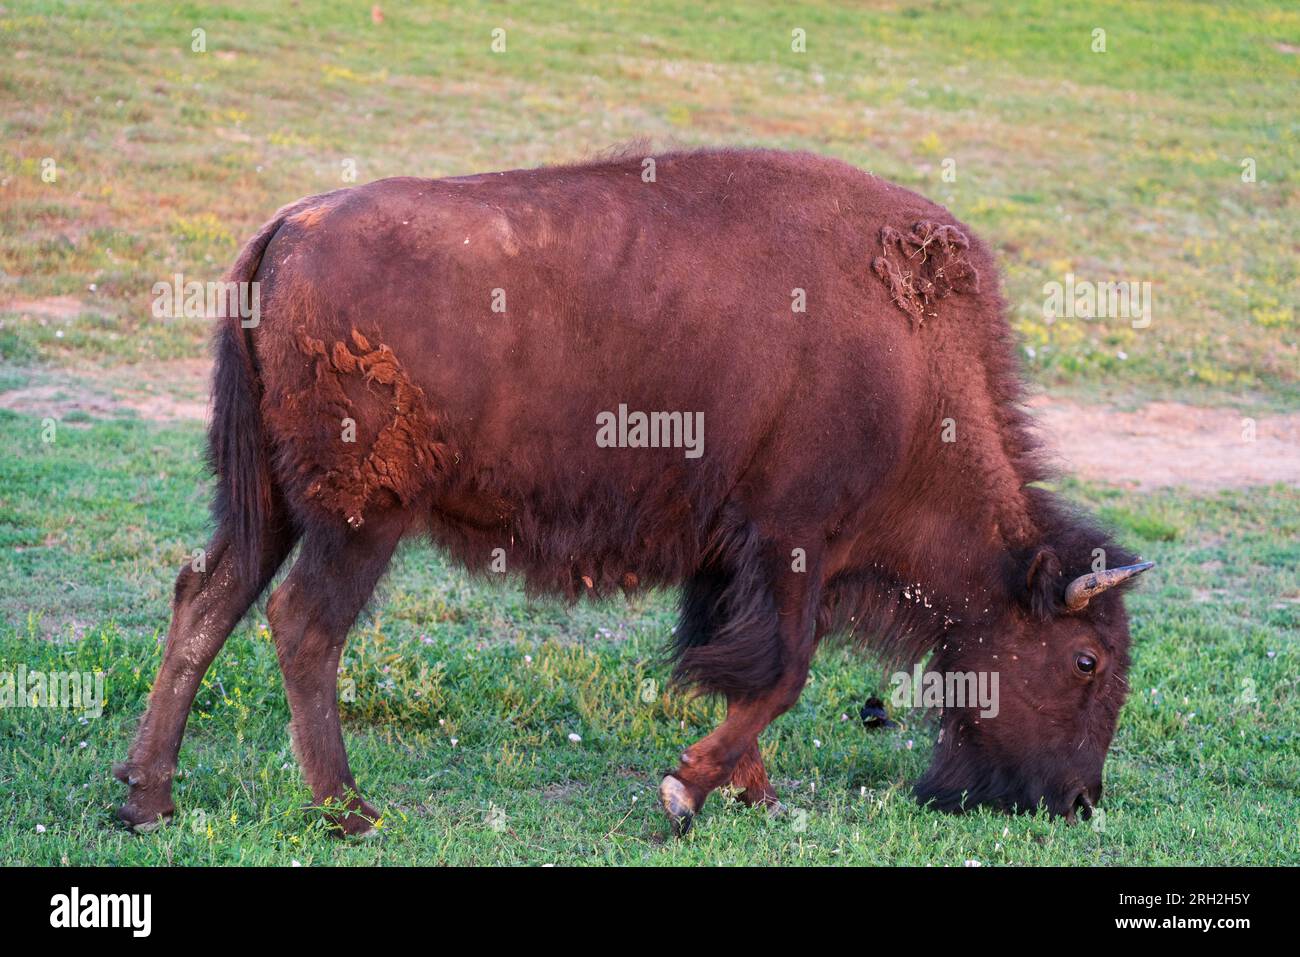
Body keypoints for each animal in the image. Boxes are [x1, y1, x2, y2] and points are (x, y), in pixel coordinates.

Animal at [116, 147, 1151, 837]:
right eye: (1087, 661)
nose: (1078, 801)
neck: (911, 369)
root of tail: (287, 226)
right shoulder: (794, 543)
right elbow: (779, 672)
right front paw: (687, 791)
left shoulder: (732, 558)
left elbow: (737, 668)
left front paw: (748, 792)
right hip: (358, 516)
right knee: (302, 624)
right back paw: (349, 810)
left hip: (268, 500)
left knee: (206, 596)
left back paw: (147, 798)